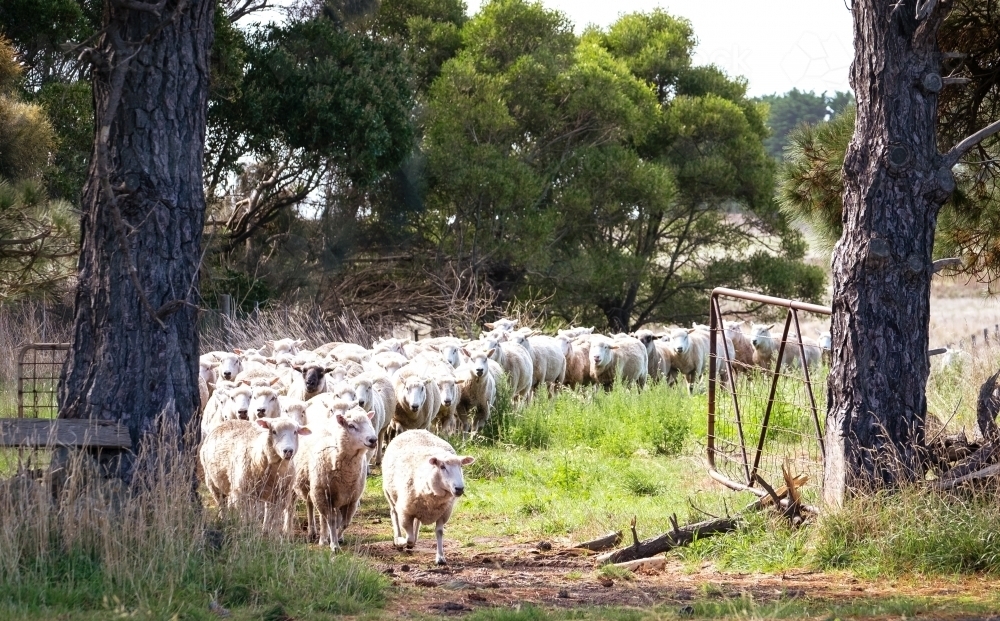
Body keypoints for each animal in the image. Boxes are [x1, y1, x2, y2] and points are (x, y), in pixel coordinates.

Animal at [293, 408, 377, 549]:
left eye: (370, 423)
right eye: (351, 426)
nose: (373, 440)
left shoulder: (352, 499)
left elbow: (344, 523)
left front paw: (337, 538)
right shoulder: (323, 494)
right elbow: (331, 521)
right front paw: (334, 545)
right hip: (309, 486)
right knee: (309, 506)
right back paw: (312, 533)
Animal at [381, 429, 475, 565]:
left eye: (461, 466)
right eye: (442, 466)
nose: (459, 489)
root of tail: (413, 429)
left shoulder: (444, 513)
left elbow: (439, 532)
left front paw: (440, 557)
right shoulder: (405, 512)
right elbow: (408, 538)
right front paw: (401, 542)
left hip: (418, 507)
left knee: (417, 523)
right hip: (390, 494)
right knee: (394, 513)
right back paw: (397, 538)